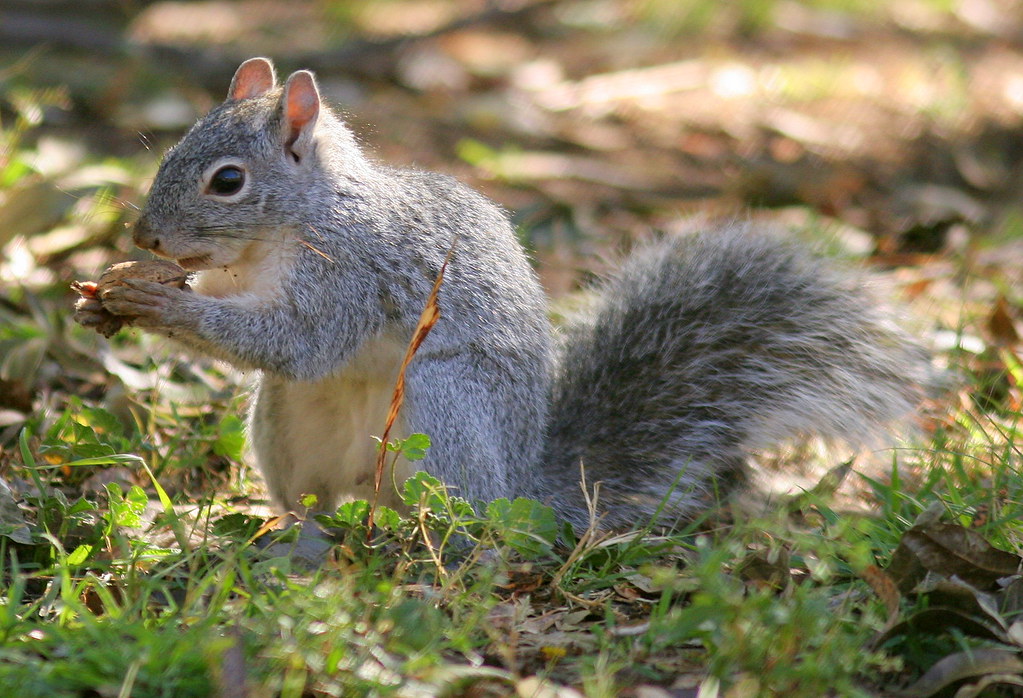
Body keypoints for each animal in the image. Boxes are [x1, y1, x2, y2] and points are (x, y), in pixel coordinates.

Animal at [75, 57, 931, 530]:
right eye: (174, 150)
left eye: (227, 182)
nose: (145, 237)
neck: (290, 227)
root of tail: (525, 484)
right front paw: (107, 294)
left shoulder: (349, 271)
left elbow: (298, 342)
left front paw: (163, 304)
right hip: (290, 426)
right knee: (315, 494)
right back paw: (289, 532)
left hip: (442, 408)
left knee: (462, 518)